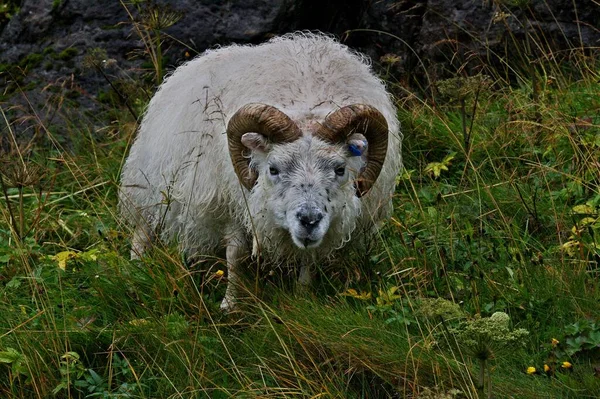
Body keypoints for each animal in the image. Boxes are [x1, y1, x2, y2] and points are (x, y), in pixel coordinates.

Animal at [119, 32, 404, 310]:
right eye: (273, 169)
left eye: (340, 169)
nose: (309, 220)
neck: (306, 99)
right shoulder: (232, 202)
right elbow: (235, 254)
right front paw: (230, 303)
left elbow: (308, 257)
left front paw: (303, 297)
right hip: (149, 186)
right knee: (142, 232)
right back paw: (136, 271)